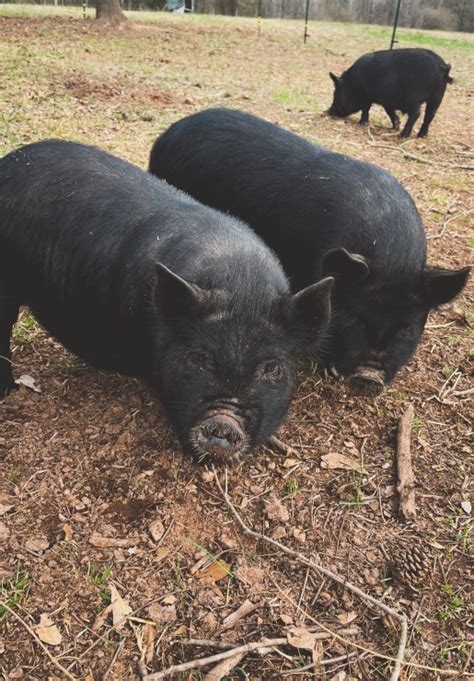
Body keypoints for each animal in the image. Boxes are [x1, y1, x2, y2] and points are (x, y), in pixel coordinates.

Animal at [0, 140, 334, 462]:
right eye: (198, 358)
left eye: (272, 368)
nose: (224, 422)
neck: (241, 284)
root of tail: (10, 163)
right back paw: (8, 391)